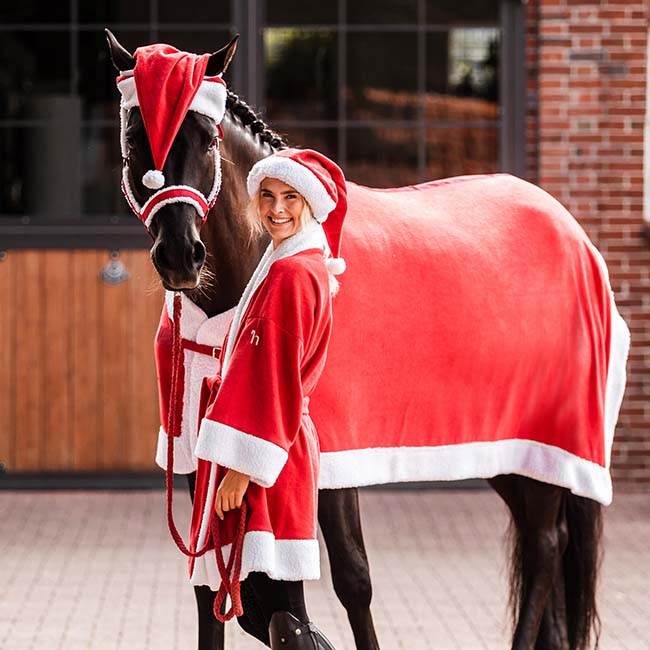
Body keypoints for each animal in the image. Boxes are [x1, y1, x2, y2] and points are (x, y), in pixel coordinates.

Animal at [106, 31, 628, 650]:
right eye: (134, 140)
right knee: (539, 543)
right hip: (509, 450)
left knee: (546, 546)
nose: (181, 256)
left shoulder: (327, 456)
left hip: (553, 437)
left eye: (207, 139)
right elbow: (218, 593)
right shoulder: (197, 455)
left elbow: (352, 580)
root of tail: (572, 230)